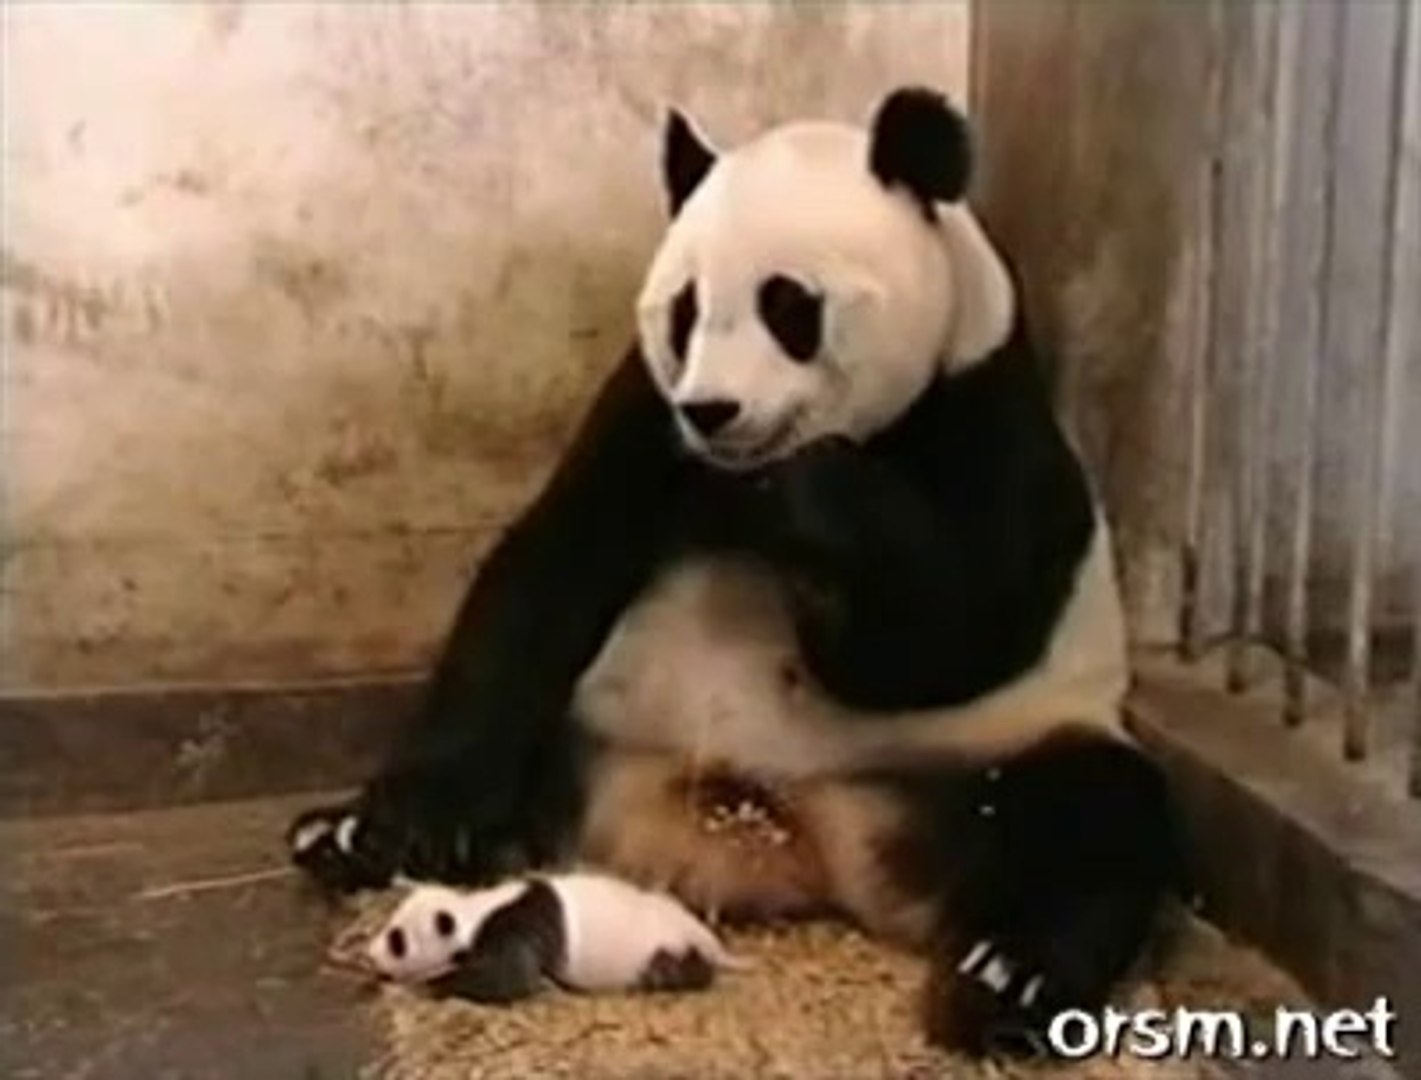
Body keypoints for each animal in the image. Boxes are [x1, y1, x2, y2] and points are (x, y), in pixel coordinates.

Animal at [288, 86, 1182, 1057]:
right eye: (685, 310)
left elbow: (948, 638)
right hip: (596, 730)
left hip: (982, 757)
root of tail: (794, 845)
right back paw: (349, 838)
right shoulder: (645, 413)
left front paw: (809, 495)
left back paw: (1002, 978)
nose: (714, 410)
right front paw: (406, 822)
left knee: (1093, 817)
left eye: (788, 305)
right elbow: (550, 570)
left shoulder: (986, 409)